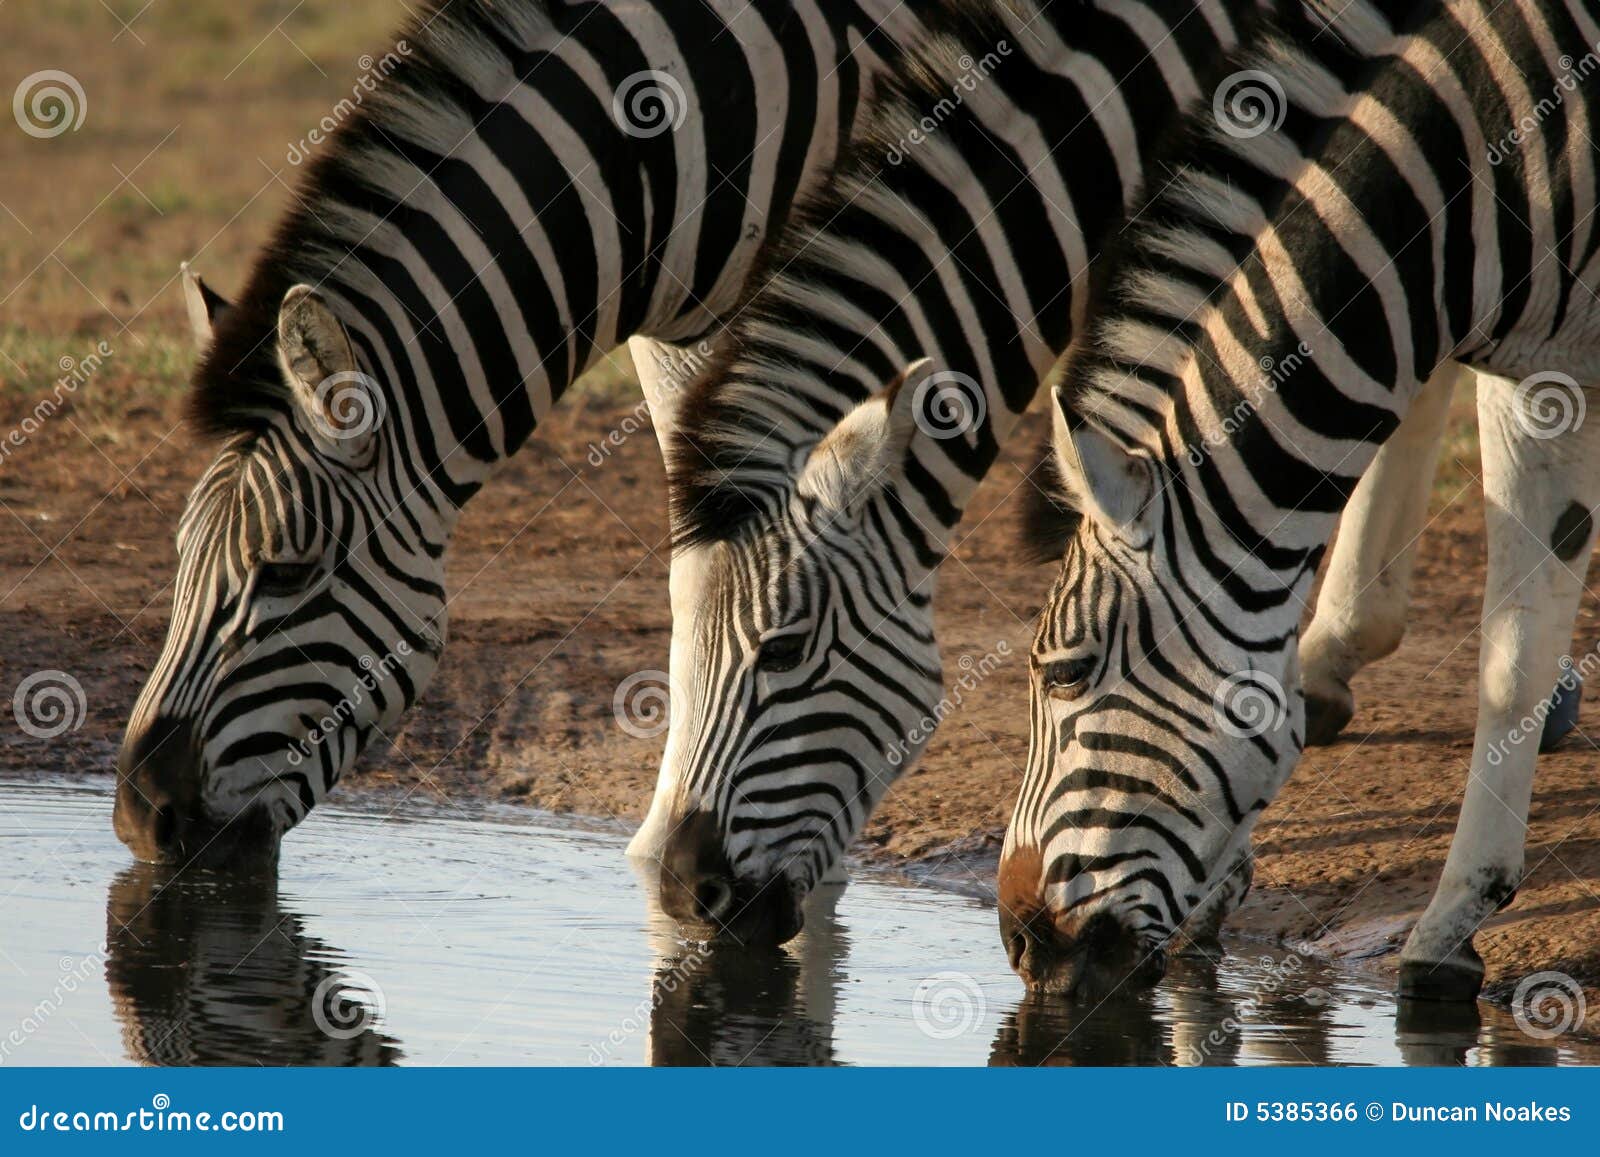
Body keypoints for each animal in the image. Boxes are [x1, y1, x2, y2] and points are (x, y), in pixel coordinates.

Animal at [1005, 0, 1600, 1002]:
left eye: (1064, 673)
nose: (1022, 946)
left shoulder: (1546, 378)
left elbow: (1510, 650)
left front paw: (1446, 924)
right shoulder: (1538, 367)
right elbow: (1515, 649)